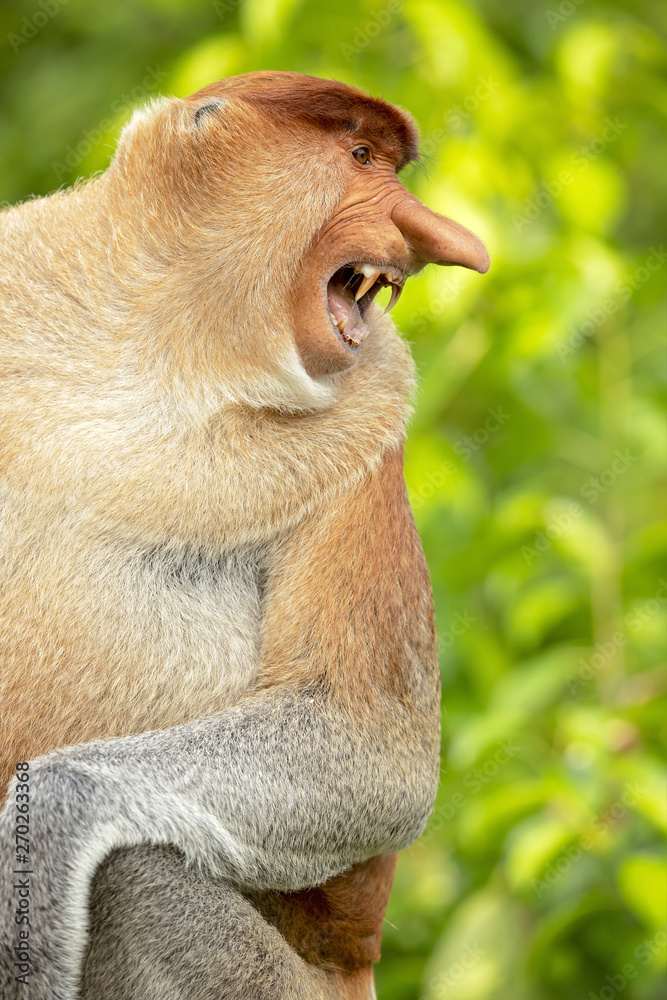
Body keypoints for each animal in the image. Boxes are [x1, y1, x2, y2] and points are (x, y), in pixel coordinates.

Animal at [0, 72, 489, 999]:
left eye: (383, 162)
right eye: (359, 156)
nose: (441, 236)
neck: (172, 348)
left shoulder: (369, 423)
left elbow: (369, 747)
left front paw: (36, 852)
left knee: (131, 873)